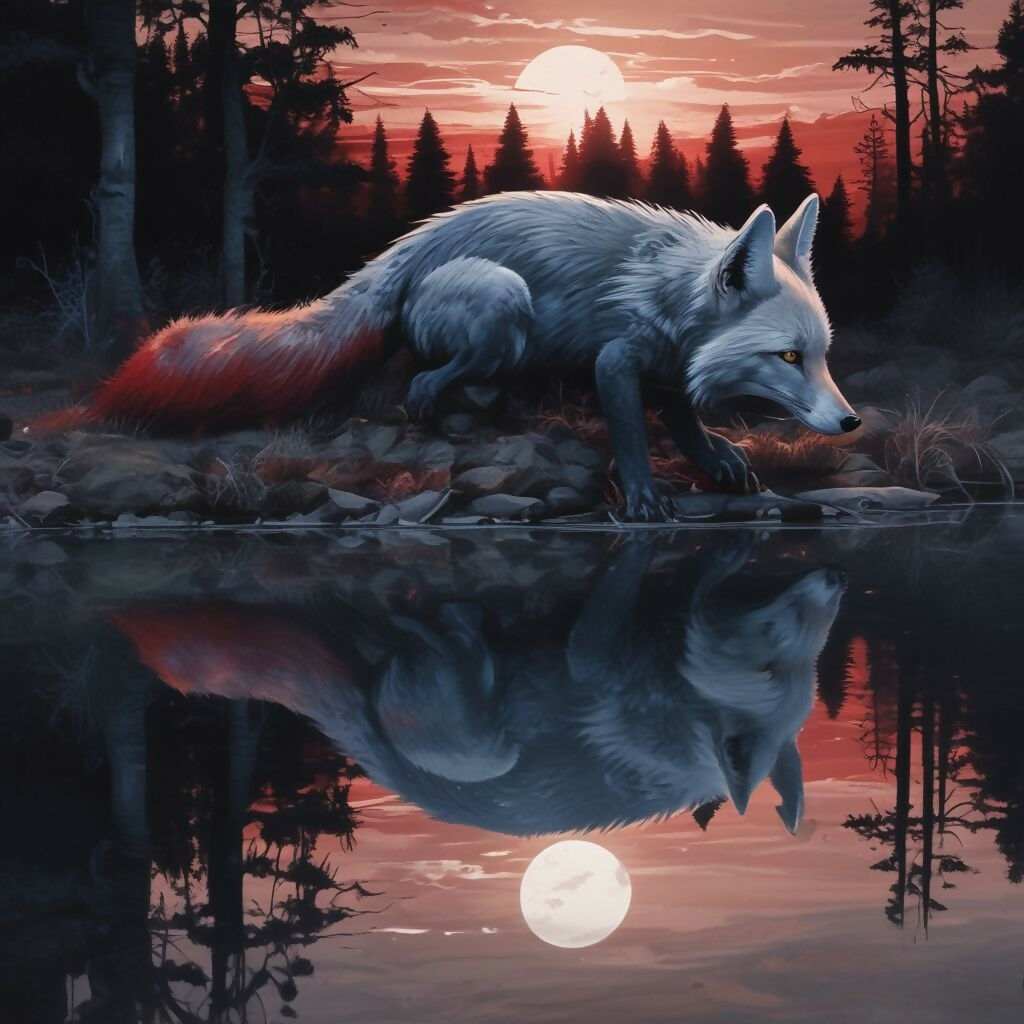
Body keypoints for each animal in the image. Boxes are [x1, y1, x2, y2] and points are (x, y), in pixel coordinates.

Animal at [30, 191, 859, 521]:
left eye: (821, 356)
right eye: (788, 357)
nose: (851, 423)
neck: (676, 296)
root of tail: (404, 251)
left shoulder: (667, 368)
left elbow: (685, 421)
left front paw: (720, 459)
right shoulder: (618, 358)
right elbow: (631, 429)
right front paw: (645, 494)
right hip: (505, 300)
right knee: (427, 375)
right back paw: (441, 402)